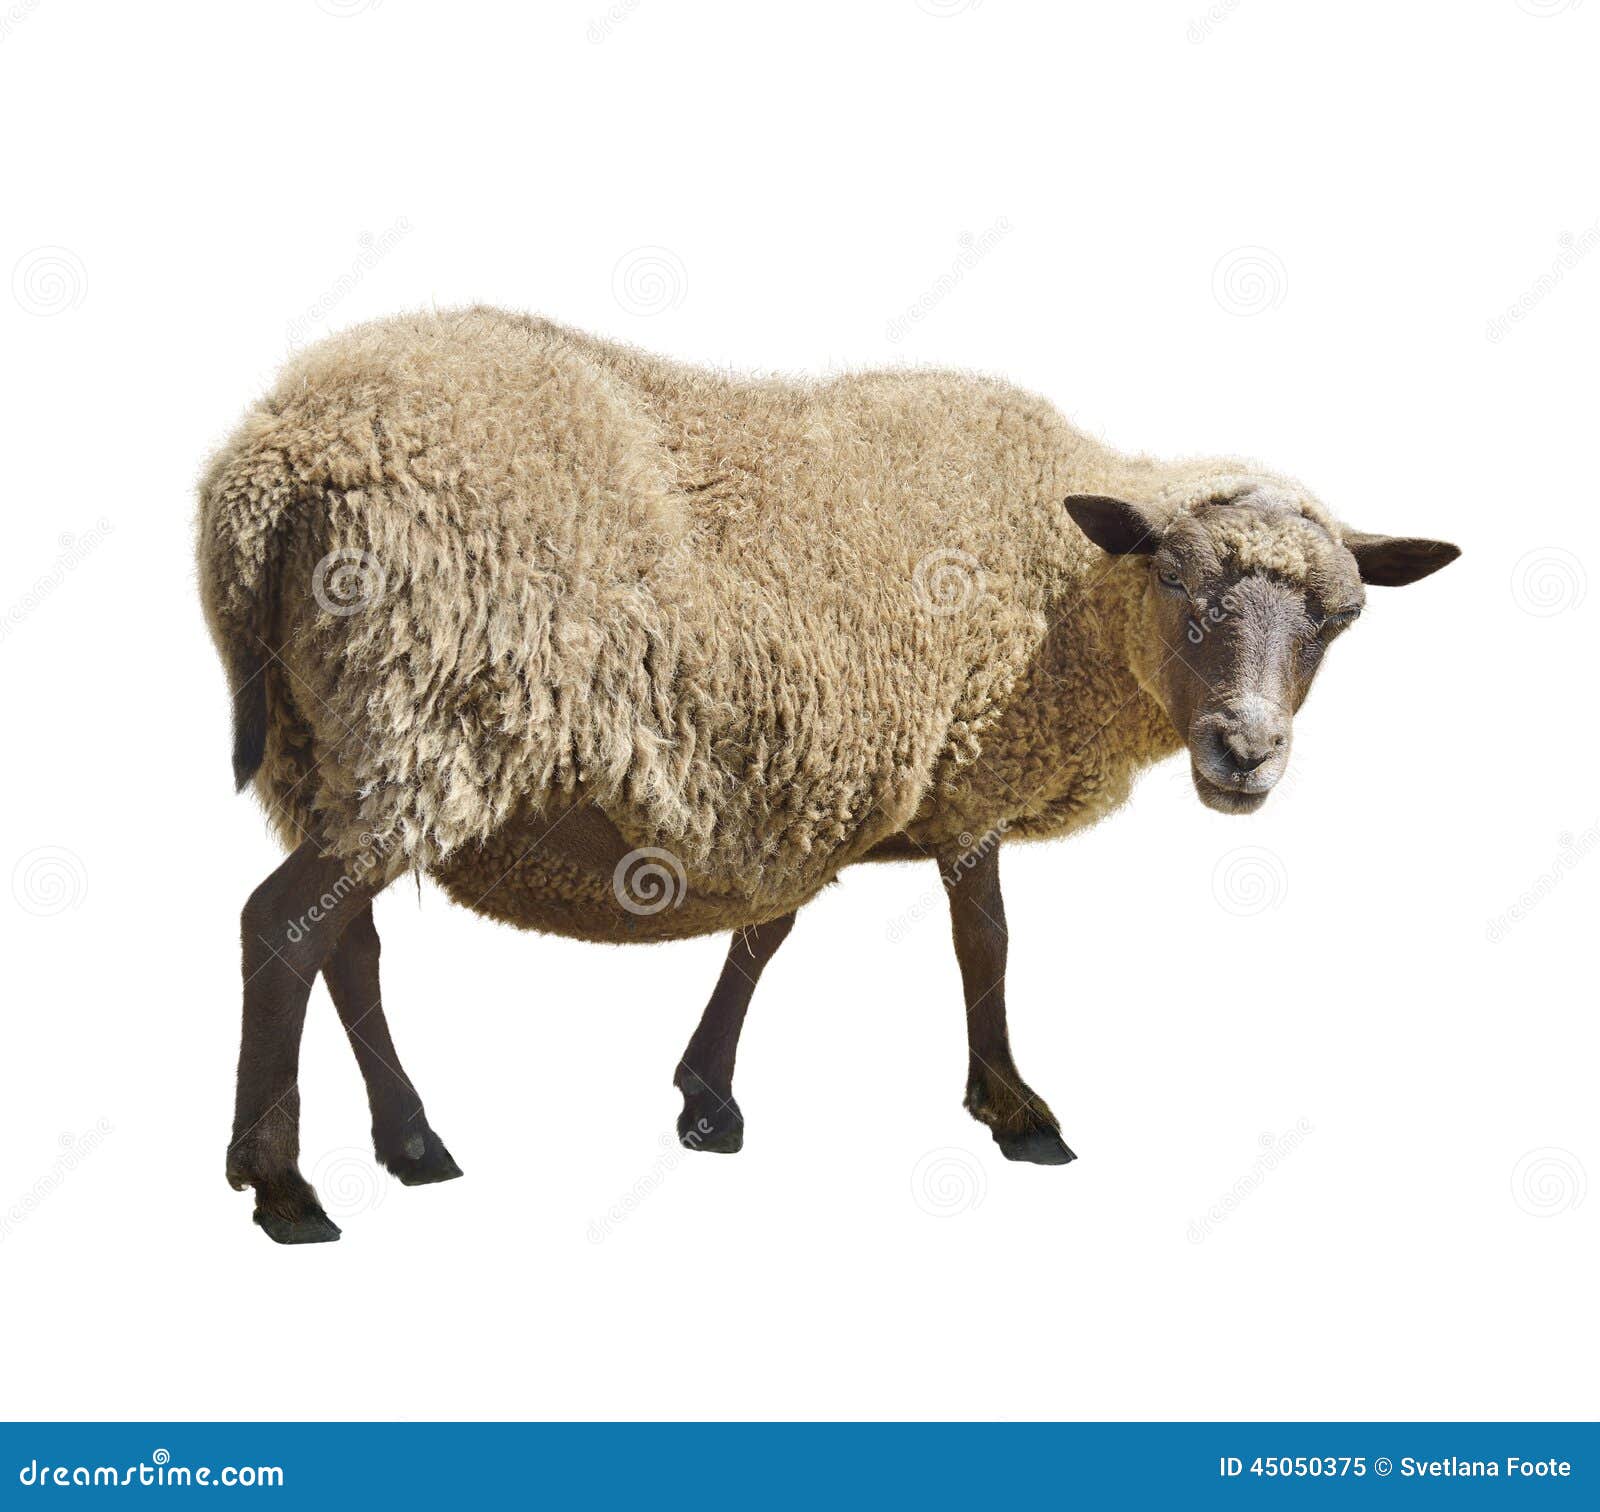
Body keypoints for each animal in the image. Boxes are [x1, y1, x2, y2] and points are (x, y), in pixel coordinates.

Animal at [197, 306, 1459, 1242]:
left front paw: (707, 1099)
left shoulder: (831, 782)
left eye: (1337, 621)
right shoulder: (964, 778)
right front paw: (1015, 1109)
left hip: (336, 747)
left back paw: (411, 1143)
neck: (1065, 585)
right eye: (1174, 586)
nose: (1246, 750)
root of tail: (271, 464)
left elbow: (769, 931)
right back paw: (283, 1186)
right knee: (282, 928)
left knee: (347, 942)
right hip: (425, 711)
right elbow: (985, 942)